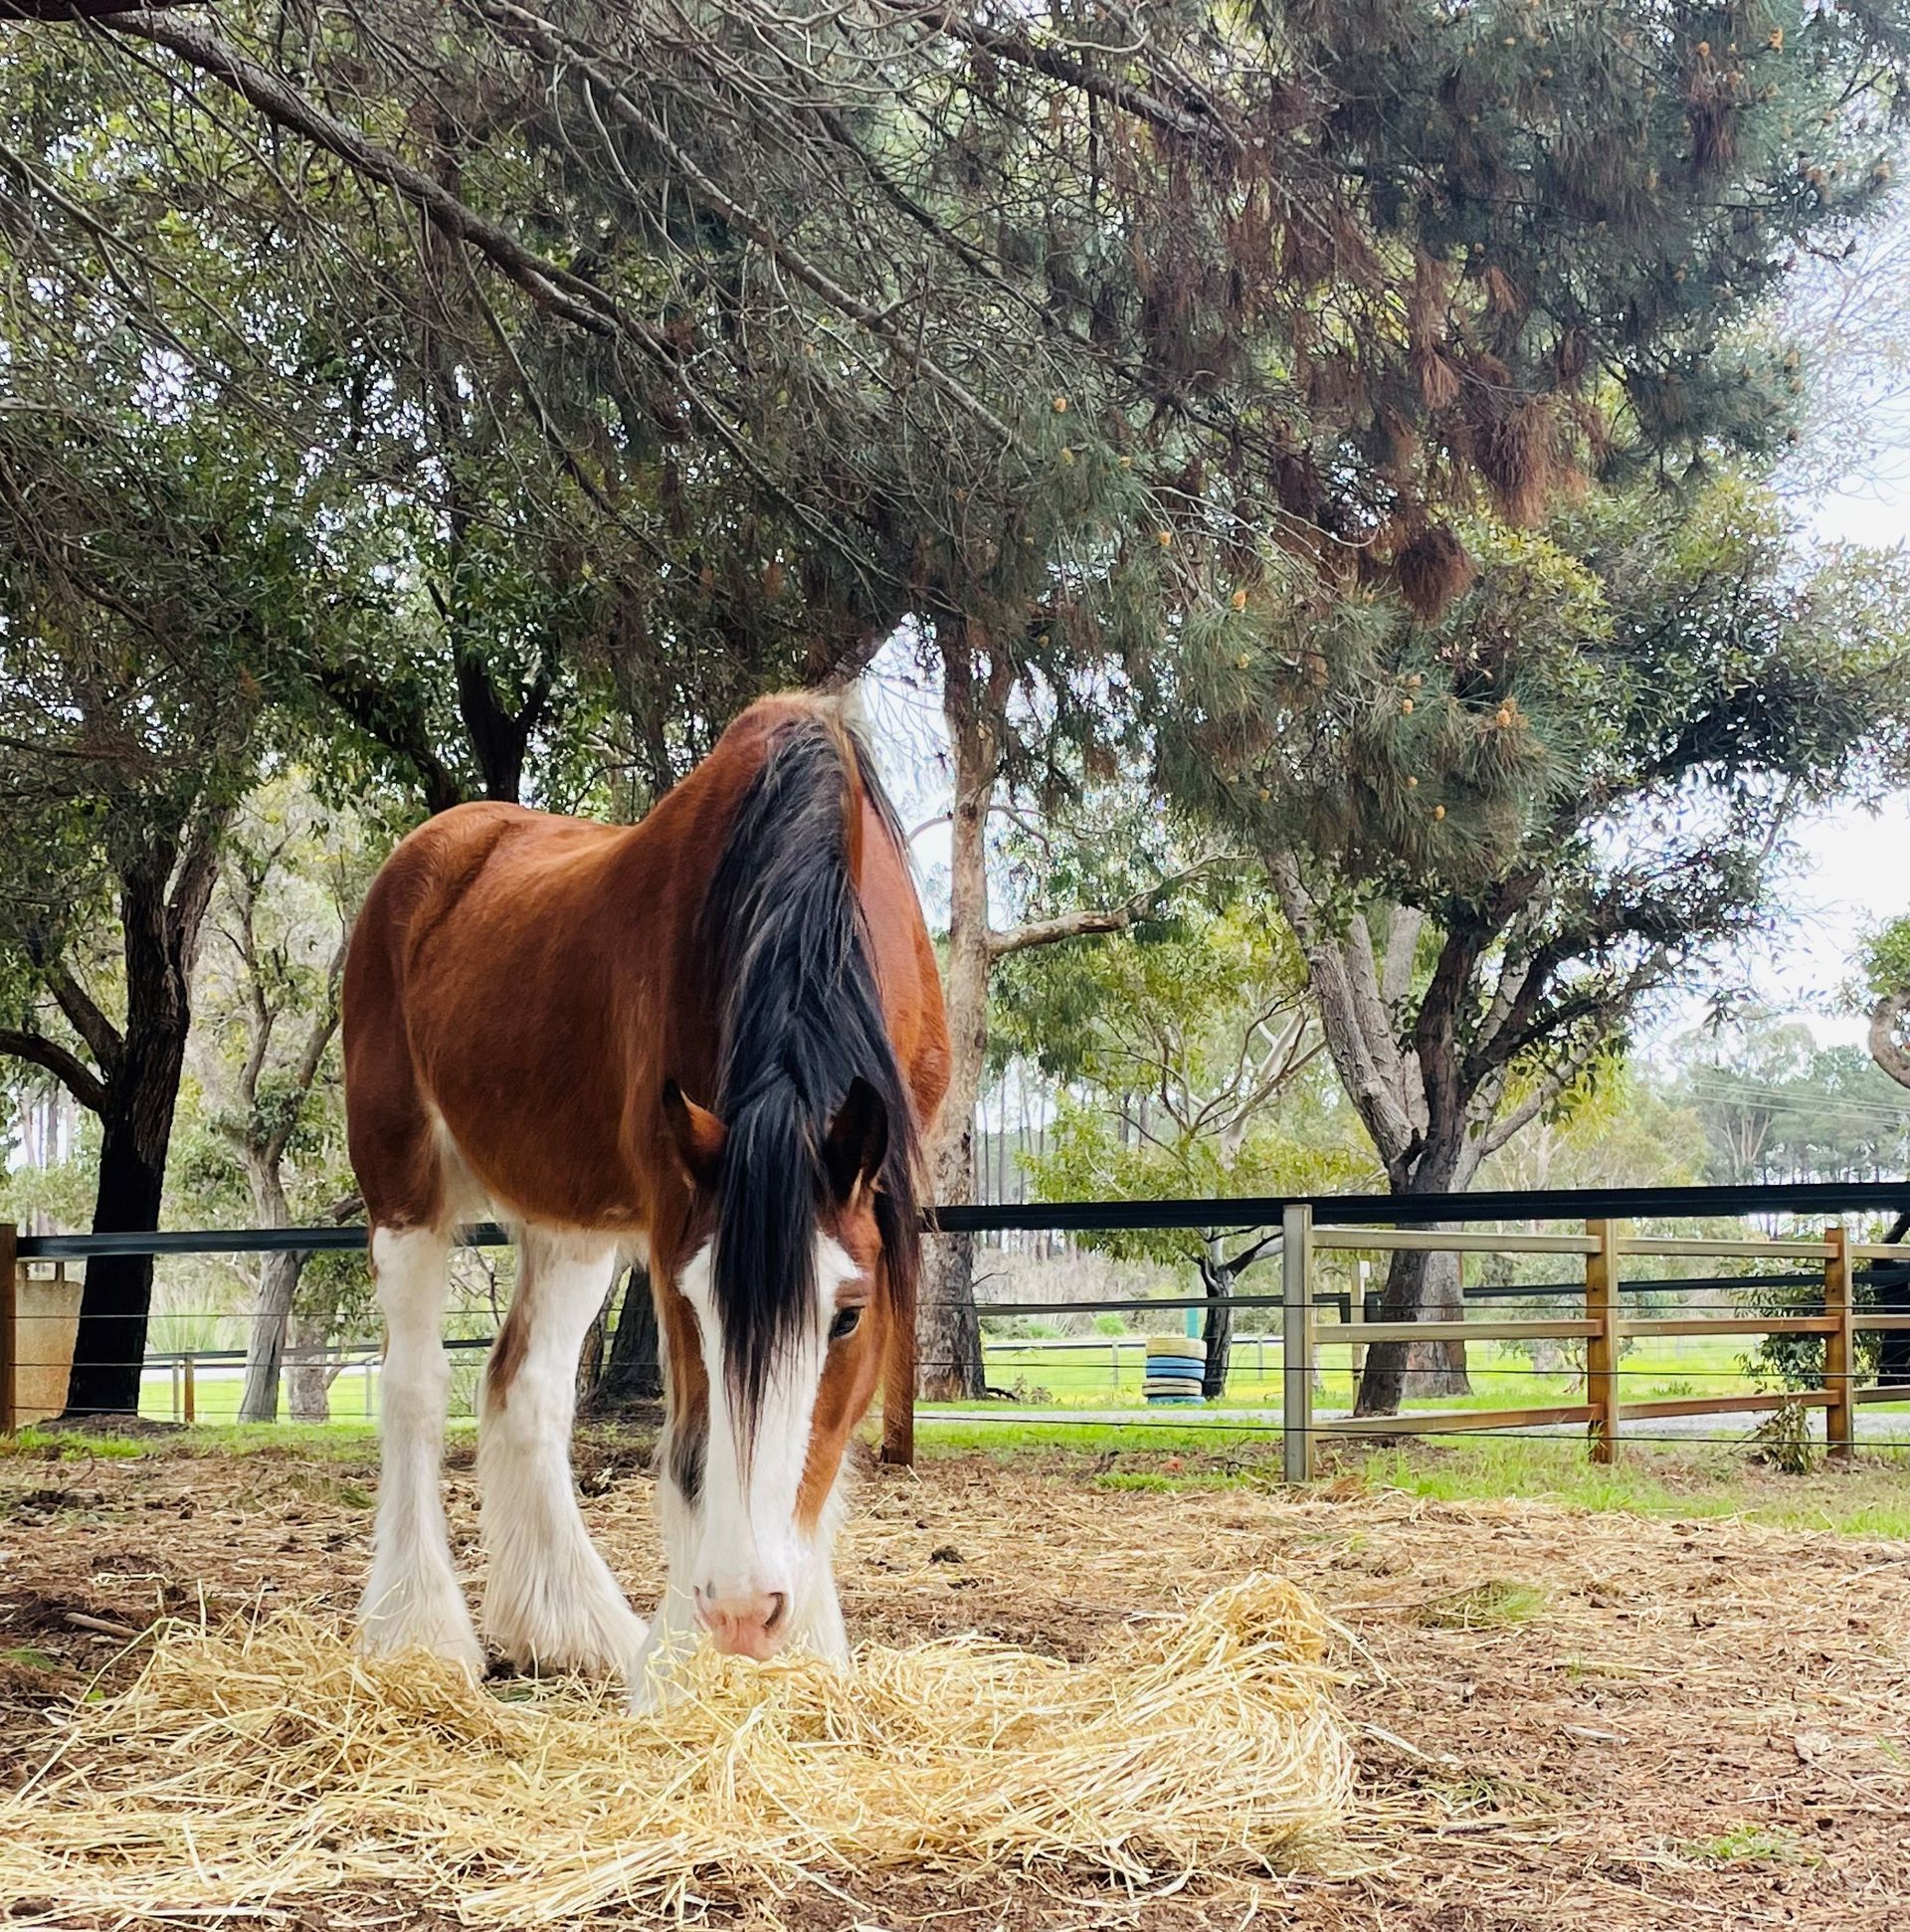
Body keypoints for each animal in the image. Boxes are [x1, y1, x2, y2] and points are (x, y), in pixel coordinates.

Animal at [341, 694, 949, 1702]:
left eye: (849, 1317)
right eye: (692, 1305)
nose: (743, 1609)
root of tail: (431, 855)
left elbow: (821, 1453)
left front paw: (809, 1657)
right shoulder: (674, 1216)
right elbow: (693, 1449)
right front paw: (679, 1676)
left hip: (573, 1224)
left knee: (526, 1390)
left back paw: (572, 1628)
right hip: (404, 1188)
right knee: (415, 1389)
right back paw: (418, 1634)